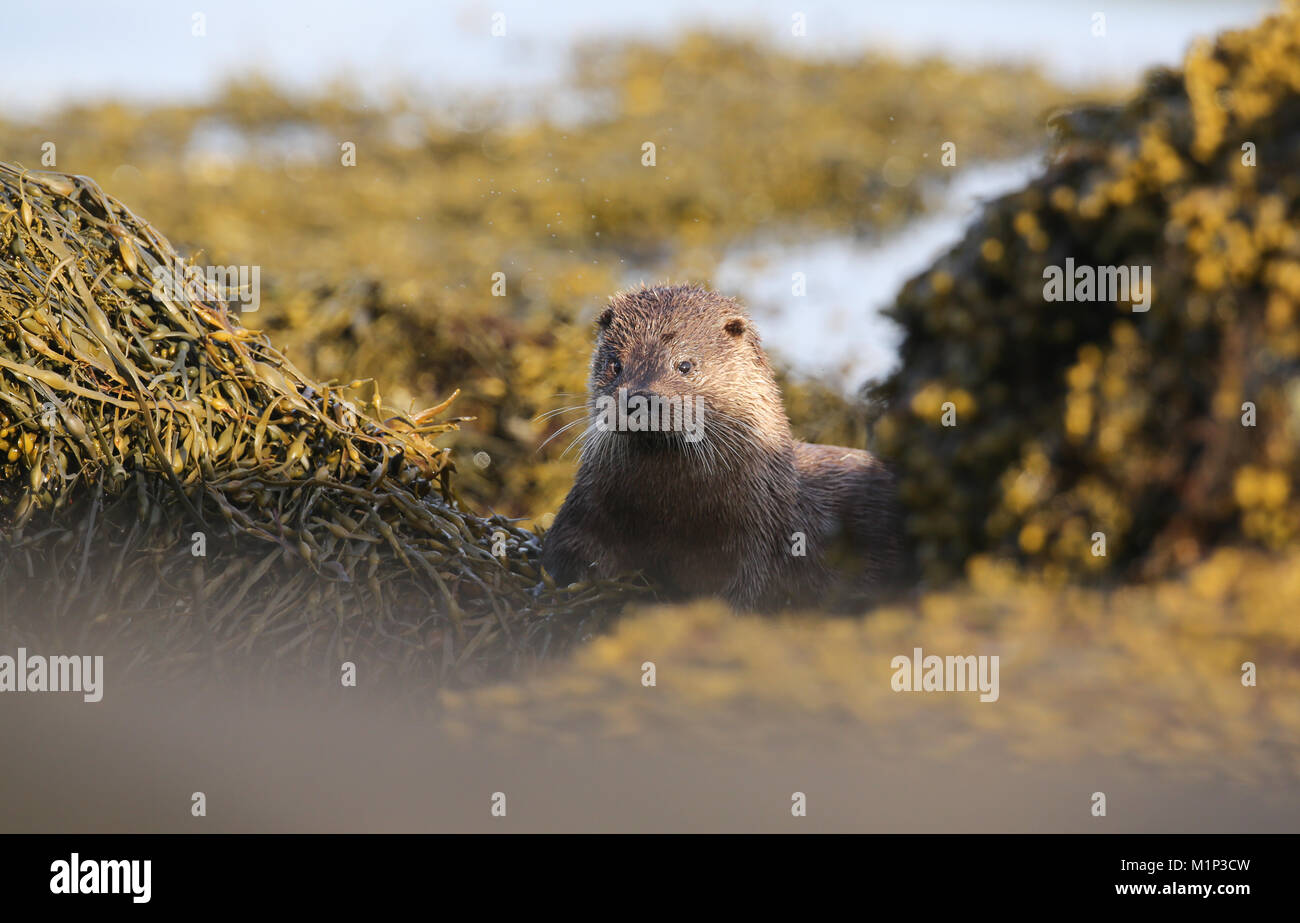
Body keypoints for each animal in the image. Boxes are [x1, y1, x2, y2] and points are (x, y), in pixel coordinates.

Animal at [541, 283, 901, 612]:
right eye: (615, 365)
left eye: (685, 365)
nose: (639, 398)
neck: (669, 511)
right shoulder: (587, 509)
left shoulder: (758, 539)